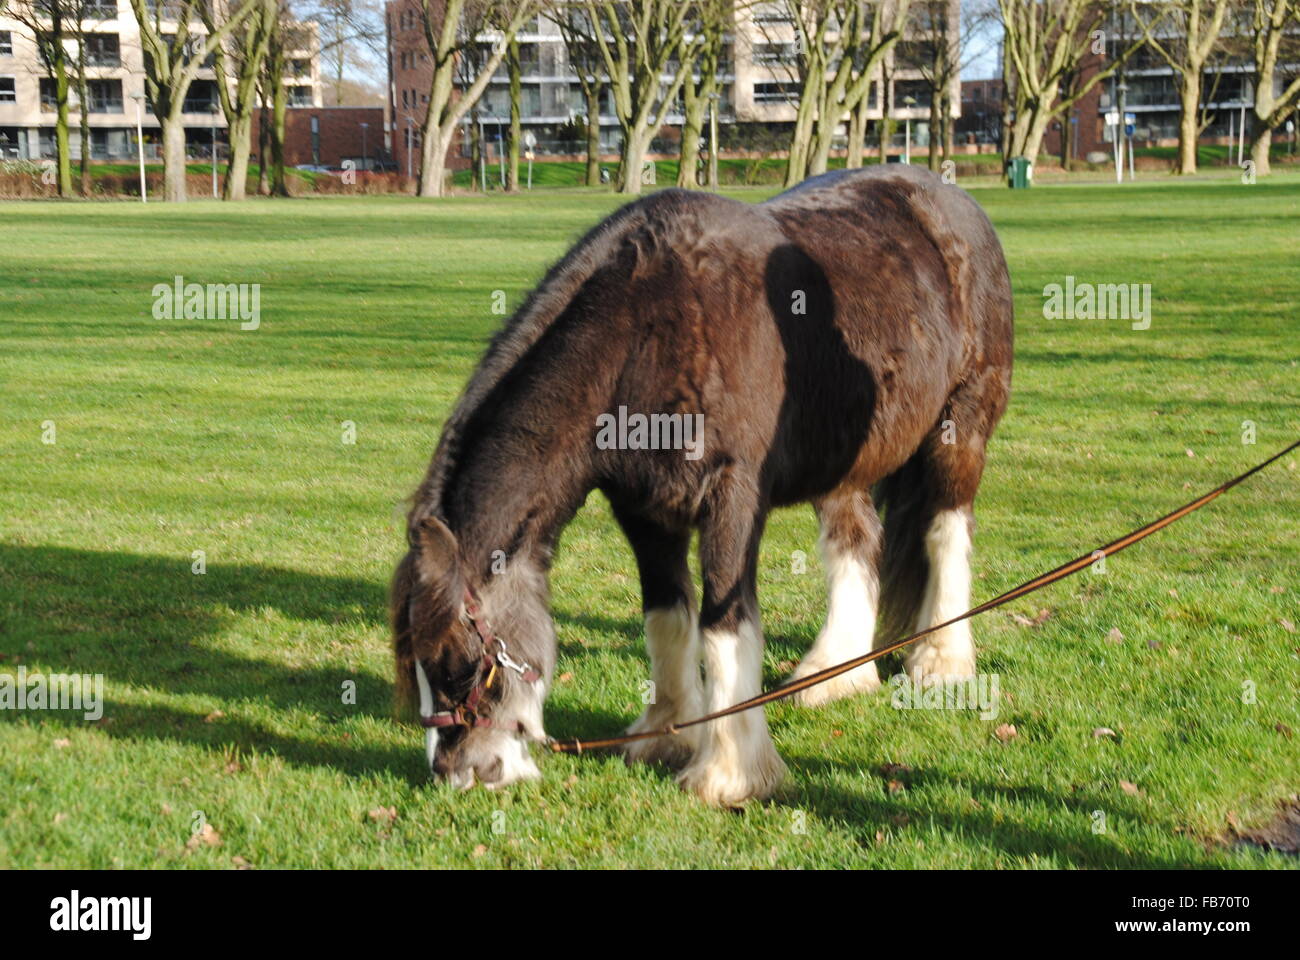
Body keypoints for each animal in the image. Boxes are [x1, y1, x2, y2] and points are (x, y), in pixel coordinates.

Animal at [391, 164, 1014, 806]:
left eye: (456, 660)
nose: (456, 772)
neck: (647, 334)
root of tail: (946, 197)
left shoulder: (732, 500)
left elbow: (723, 626)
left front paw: (730, 772)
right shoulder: (643, 512)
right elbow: (667, 617)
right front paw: (667, 733)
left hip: (960, 430)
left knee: (945, 530)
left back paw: (942, 661)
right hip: (842, 465)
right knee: (857, 541)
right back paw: (832, 673)